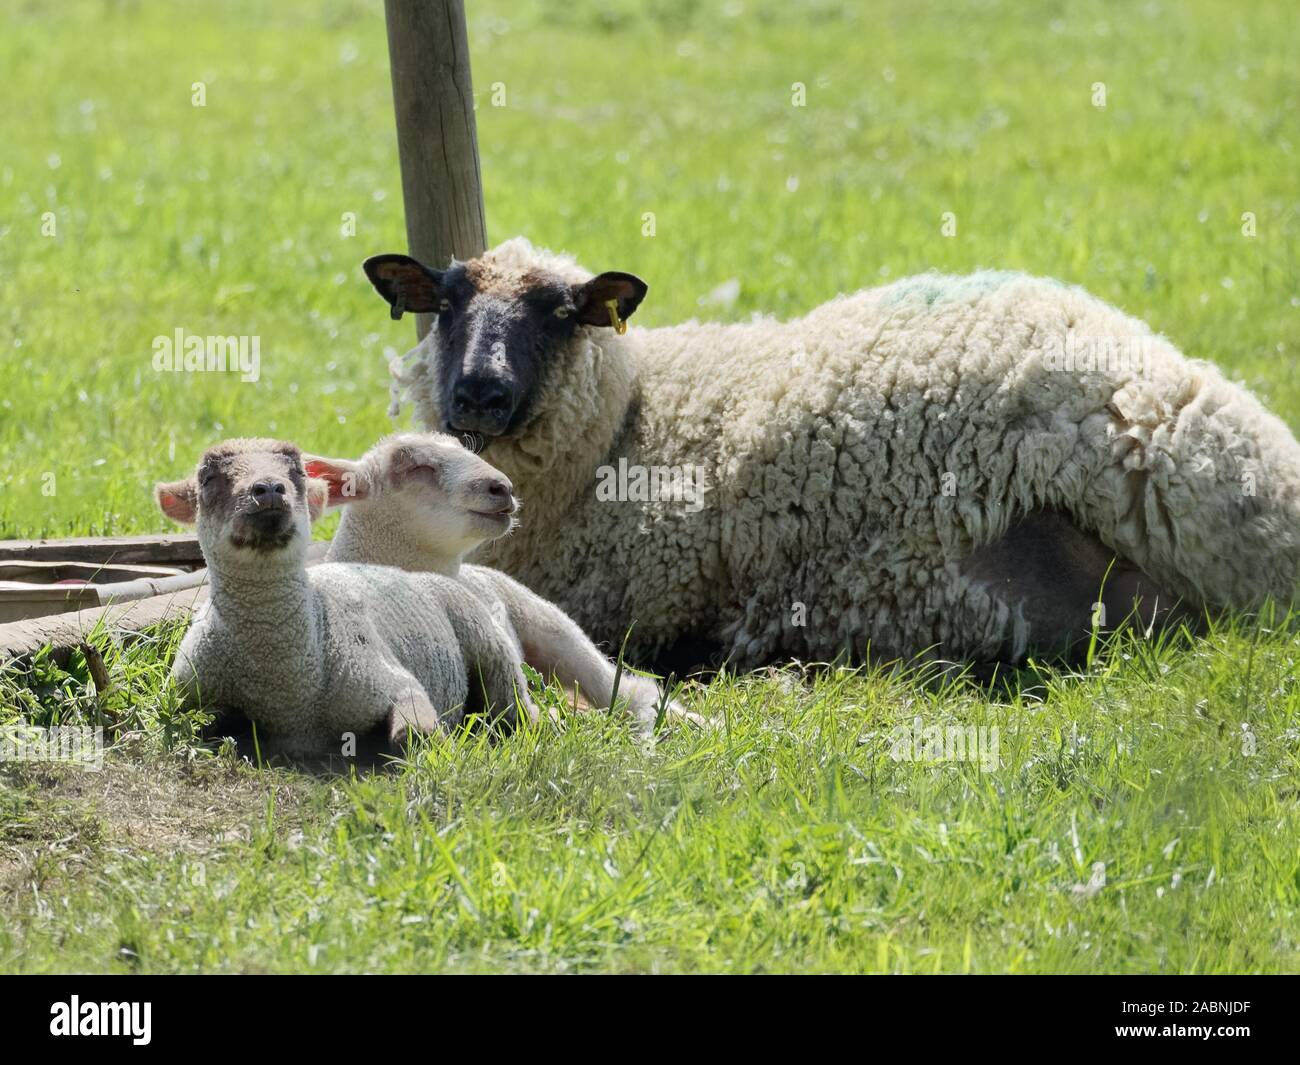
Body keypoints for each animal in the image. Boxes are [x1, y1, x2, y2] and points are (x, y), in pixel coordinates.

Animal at [155, 438, 536, 754]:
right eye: (207, 478)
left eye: (298, 473)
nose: (269, 490)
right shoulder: (186, 693)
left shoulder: (392, 680)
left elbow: (413, 734)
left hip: (491, 646)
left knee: (515, 705)